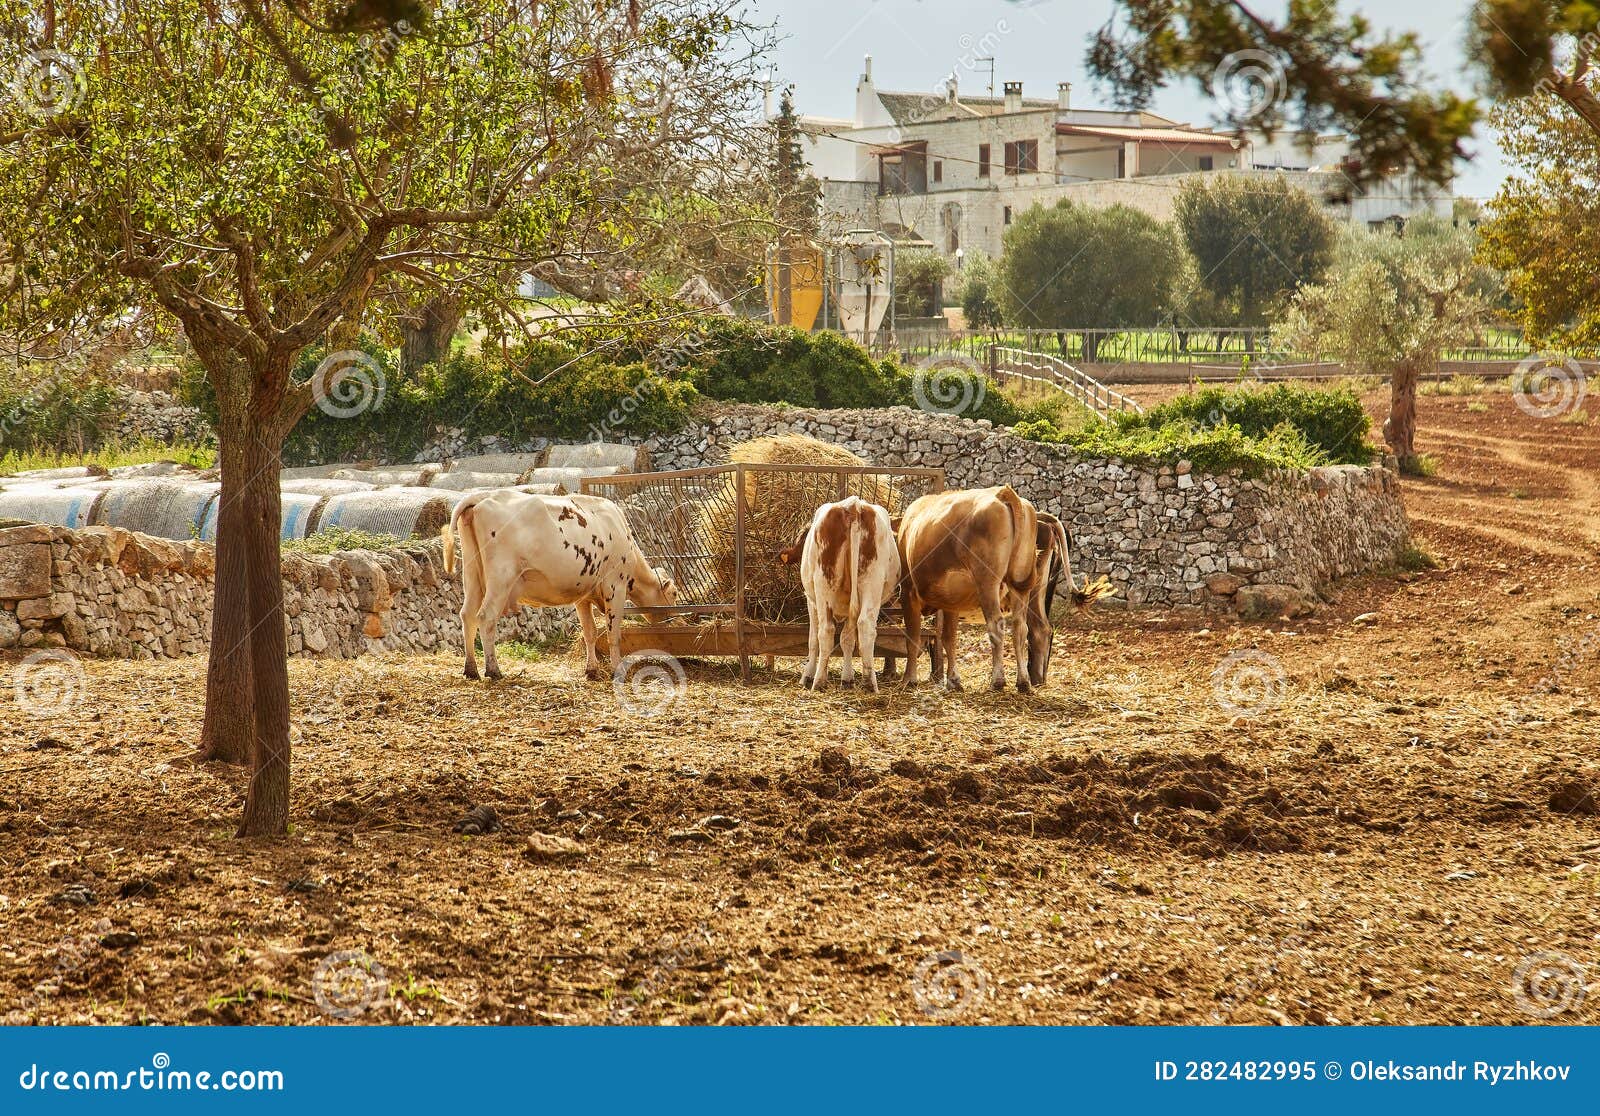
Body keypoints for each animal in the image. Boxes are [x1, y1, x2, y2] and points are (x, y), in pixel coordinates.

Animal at [441, 489, 678, 682]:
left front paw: (591, 671)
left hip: (472, 574)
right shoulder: (615, 586)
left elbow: (590, 632)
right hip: (501, 577)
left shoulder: (583, 596)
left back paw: (471, 670)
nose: (672, 620)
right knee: (485, 617)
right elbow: (613, 633)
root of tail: (482, 496)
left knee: (467, 615)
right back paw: (493, 670)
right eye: (674, 594)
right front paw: (615, 669)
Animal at [777, 496, 900, 692]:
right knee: (865, 627)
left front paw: (807, 676)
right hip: (871, 583)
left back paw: (818, 681)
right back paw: (869, 683)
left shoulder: (811, 601)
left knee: (825, 632)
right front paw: (847, 679)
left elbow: (813, 640)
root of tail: (853, 505)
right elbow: (847, 639)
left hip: (823, 586)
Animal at [897, 485, 1101, 693]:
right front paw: (953, 680)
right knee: (1027, 627)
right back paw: (1027, 680)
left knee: (998, 625)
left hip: (988, 583)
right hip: (1026, 587)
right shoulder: (951, 601)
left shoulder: (908, 591)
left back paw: (999, 680)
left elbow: (913, 637)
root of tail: (1004, 493)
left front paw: (909, 679)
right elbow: (949, 637)